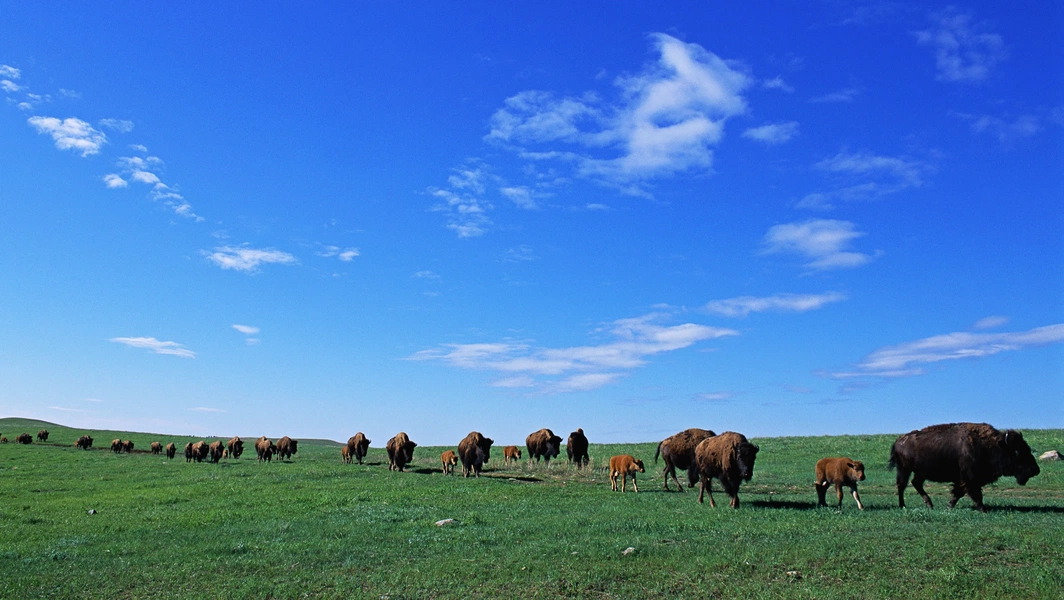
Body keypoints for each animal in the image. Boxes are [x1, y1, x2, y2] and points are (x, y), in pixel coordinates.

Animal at [888, 422, 1040, 512]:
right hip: (904, 469)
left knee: (915, 483)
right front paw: (983, 509)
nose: (1035, 470)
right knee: (902, 485)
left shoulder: (964, 479)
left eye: (1027, 448)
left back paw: (929, 504)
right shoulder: (970, 478)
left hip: (920, 472)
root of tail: (899, 440)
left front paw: (949, 506)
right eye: (1017, 451)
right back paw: (903, 505)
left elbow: (959, 492)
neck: (989, 445)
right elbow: (975, 494)